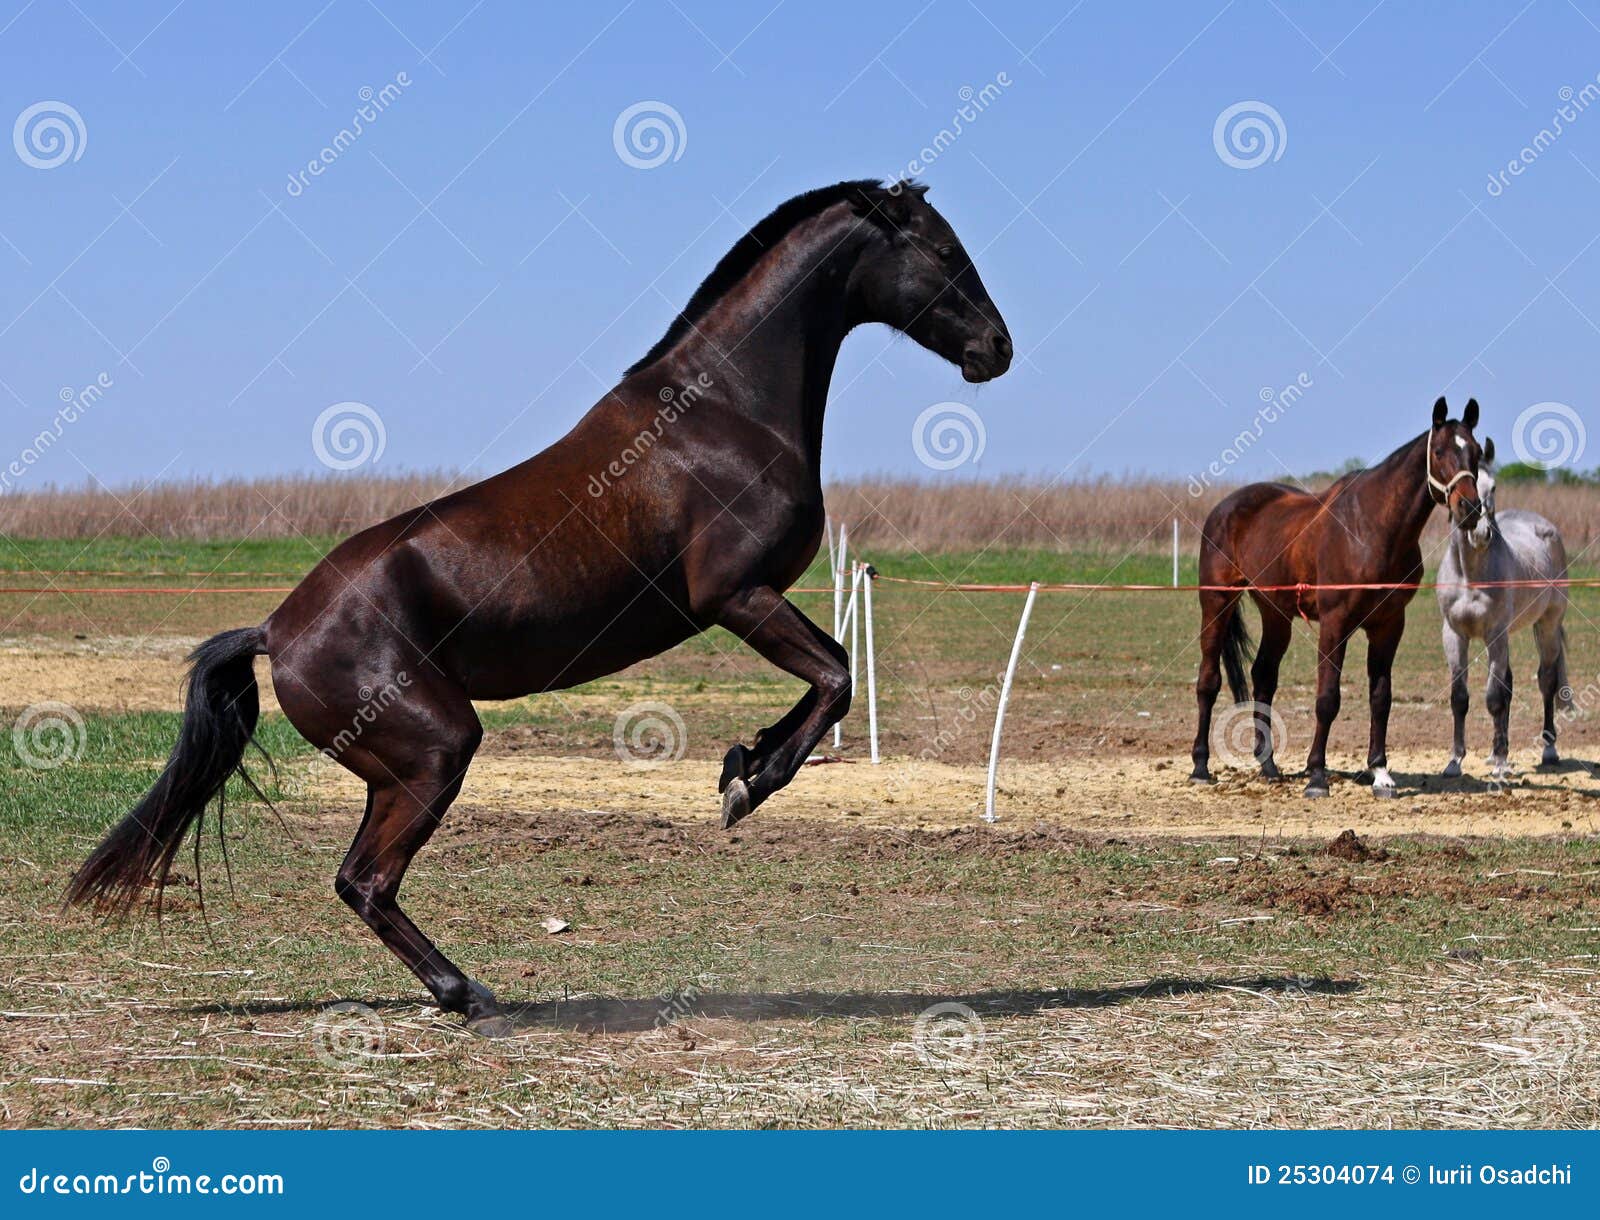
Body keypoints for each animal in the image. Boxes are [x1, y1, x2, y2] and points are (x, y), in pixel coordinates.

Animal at [66, 179, 1012, 1022]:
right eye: (941, 251)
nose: (997, 349)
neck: (725, 413)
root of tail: (275, 630)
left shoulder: (755, 600)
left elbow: (832, 673)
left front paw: (740, 761)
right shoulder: (738, 596)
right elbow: (837, 677)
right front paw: (750, 783)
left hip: (394, 771)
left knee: (358, 879)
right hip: (439, 749)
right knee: (367, 879)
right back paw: (468, 995)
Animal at [1190, 397, 1484, 799]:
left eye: (1477, 452)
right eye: (1438, 451)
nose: (1470, 509)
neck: (1372, 530)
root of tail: (1224, 509)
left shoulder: (1388, 625)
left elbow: (1381, 698)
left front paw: (1380, 772)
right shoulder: (1335, 622)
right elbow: (1327, 698)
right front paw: (1316, 775)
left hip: (1276, 613)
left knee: (1264, 676)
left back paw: (1269, 766)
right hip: (1217, 602)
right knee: (1208, 680)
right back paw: (1200, 766)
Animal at [1436, 440, 1571, 777]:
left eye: (1493, 486)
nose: (1480, 534)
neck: (1470, 575)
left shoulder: (1495, 634)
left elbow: (1494, 698)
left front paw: (1499, 765)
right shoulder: (1454, 635)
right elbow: (1460, 698)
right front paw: (1455, 761)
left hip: (1547, 626)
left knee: (1547, 680)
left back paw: (1548, 749)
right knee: (1508, 682)